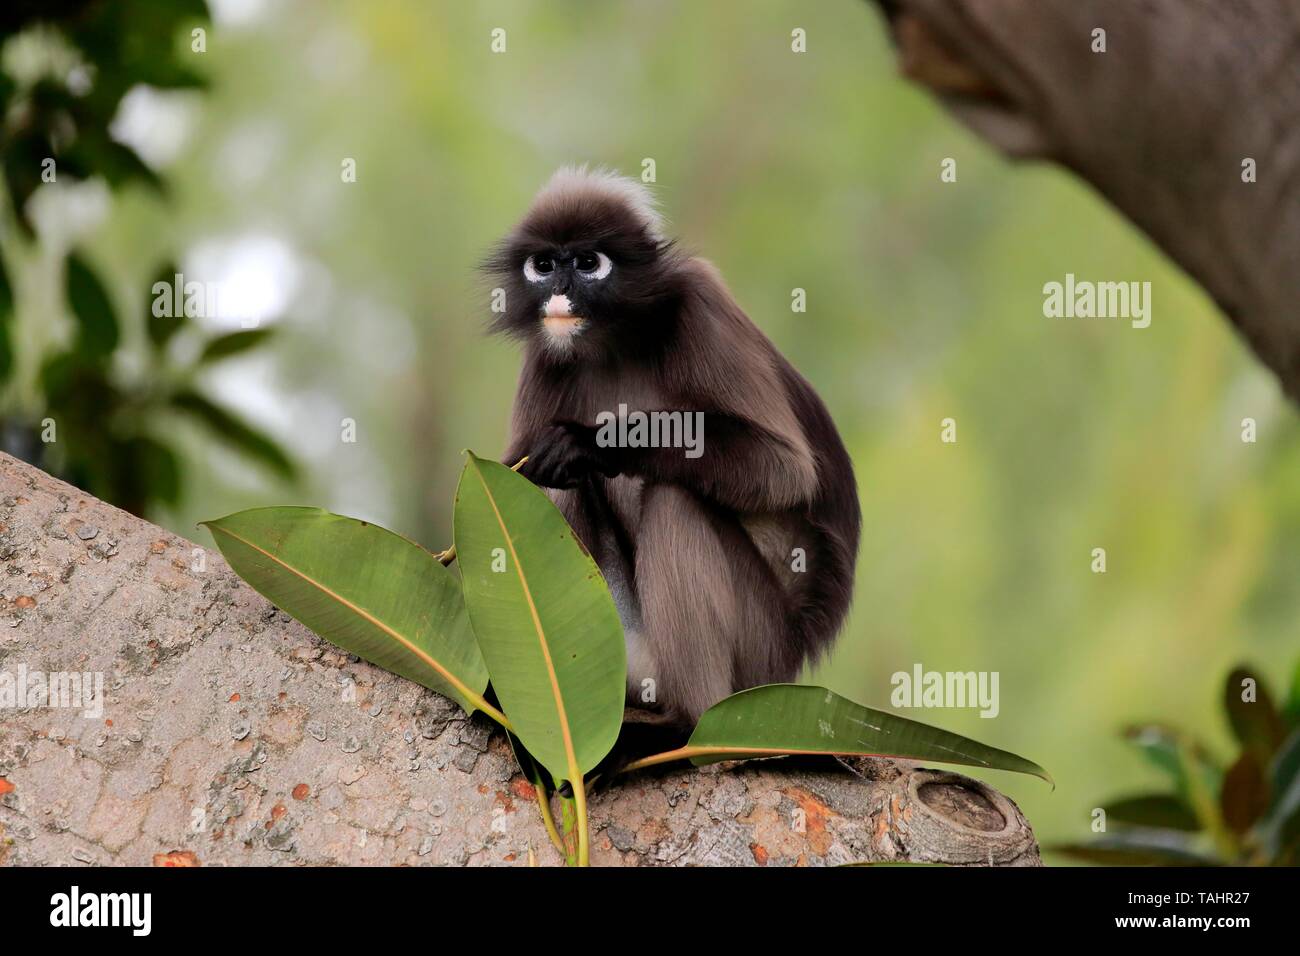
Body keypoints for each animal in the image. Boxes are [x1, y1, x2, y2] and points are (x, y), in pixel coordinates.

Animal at [486, 166, 860, 730]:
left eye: (588, 264)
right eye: (544, 265)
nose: (559, 291)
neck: (612, 343)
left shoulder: (700, 303)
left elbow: (783, 468)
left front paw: (586, 442)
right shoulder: (545, 348)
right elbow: (516, 466)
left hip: (760, 652)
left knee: (673, 498)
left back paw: (691, 720)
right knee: (543, 483)